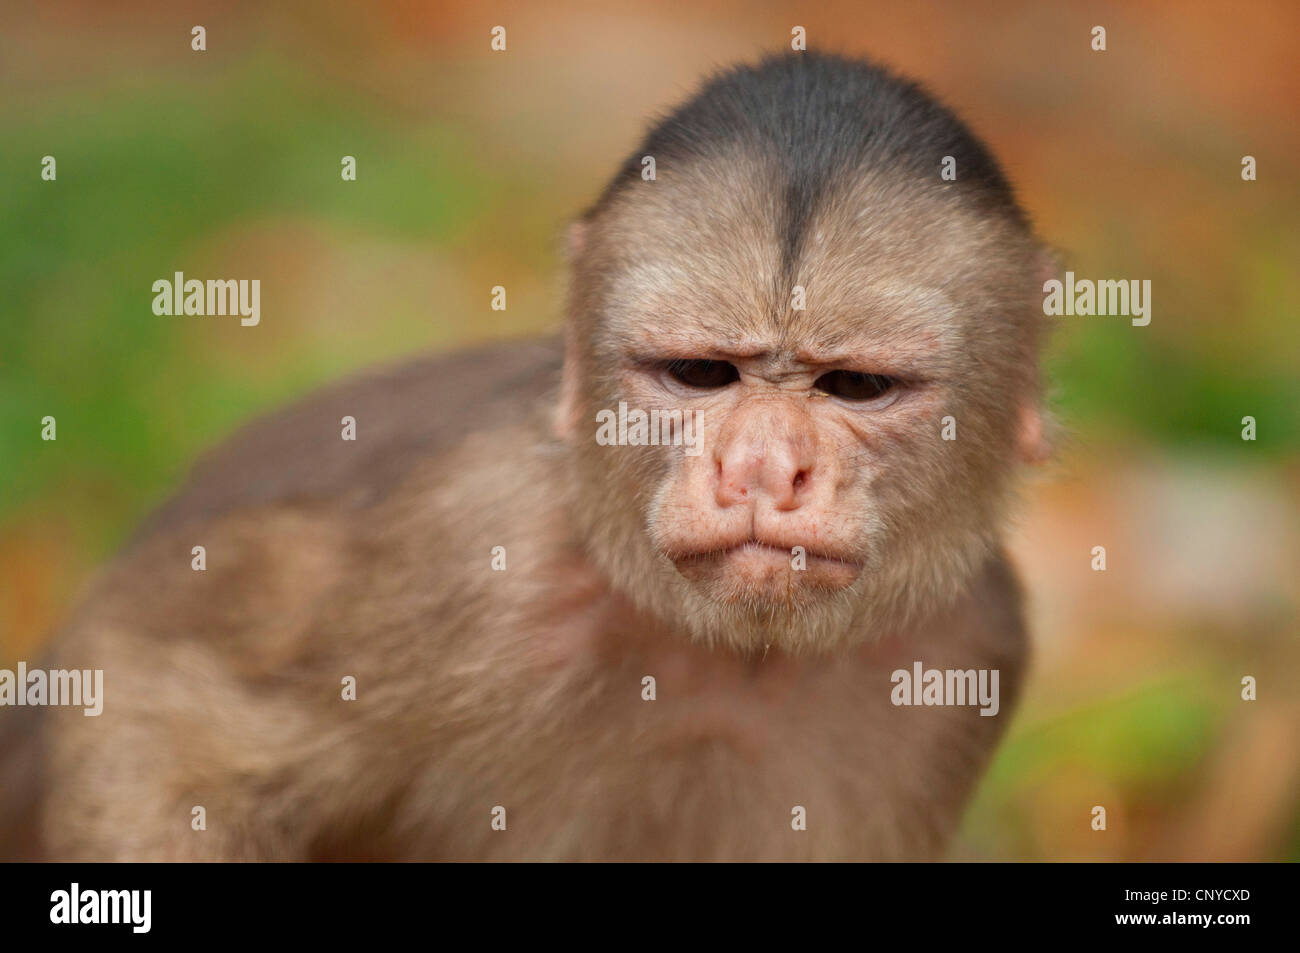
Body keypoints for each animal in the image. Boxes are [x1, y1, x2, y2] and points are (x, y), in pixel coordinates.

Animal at [4, 51, 1051, 861]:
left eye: (858, 386)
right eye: (699, 373)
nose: (759, 469)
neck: (726, 654)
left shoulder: (969, 646)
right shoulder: (471, 544)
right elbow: (144, 684)